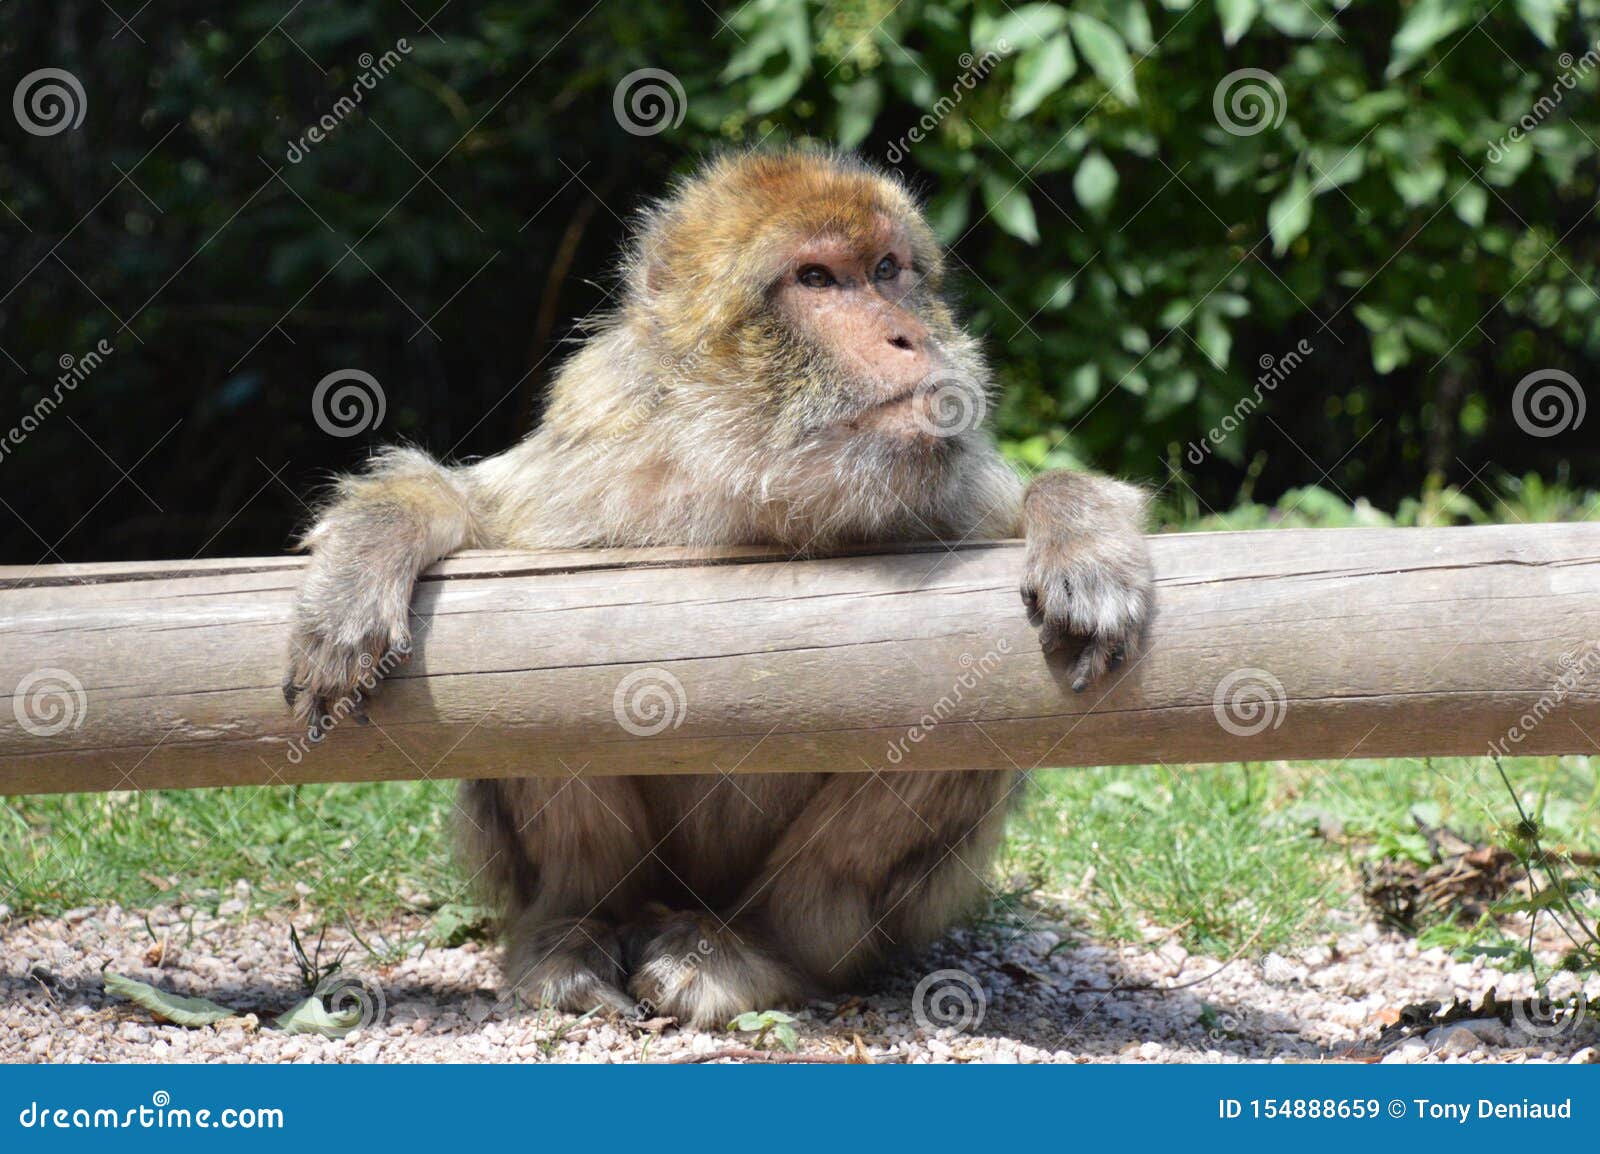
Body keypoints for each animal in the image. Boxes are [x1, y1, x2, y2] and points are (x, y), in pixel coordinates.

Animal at [284, 149, 1152, 1028]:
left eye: (886, 270)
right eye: (816, 278)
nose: (908, 334)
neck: (759, 483)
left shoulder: (954, 494)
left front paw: (1079, 528)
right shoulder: (593, 461)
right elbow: (470, 514)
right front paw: (365, 560)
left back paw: (759, 946)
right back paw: (574, 930)